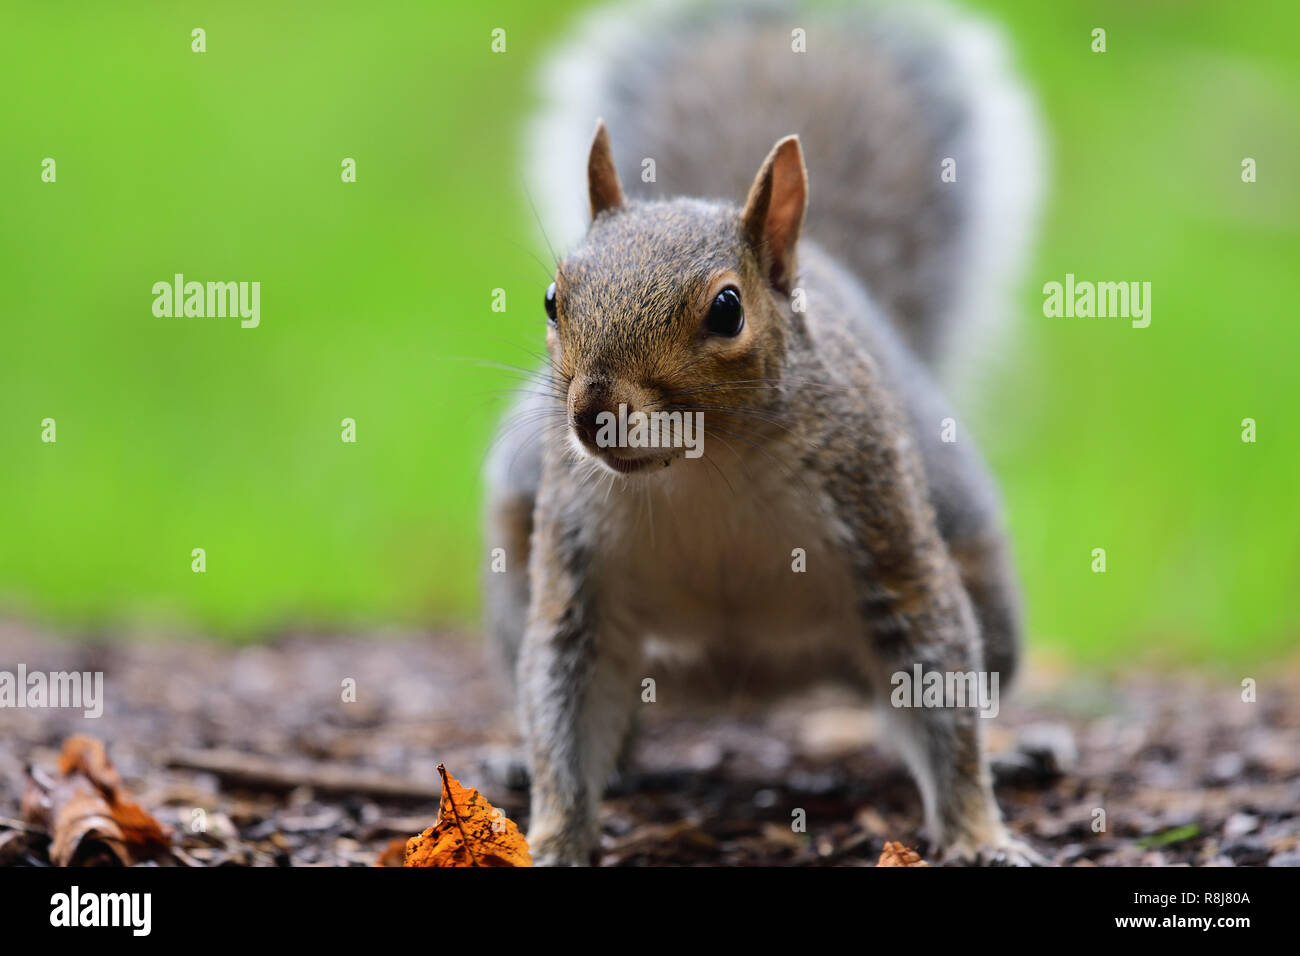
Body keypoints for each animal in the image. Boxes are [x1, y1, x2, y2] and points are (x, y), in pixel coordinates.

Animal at [485, 0, 1045, 865]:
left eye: (726, 309)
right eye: (553, 298)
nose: (592, 412)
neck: (702, 466)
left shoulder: (880, 522)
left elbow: (937, 670)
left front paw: (978, 833)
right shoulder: (575, 568)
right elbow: (562, 701)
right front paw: (549, 836)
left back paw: (1015, 750)